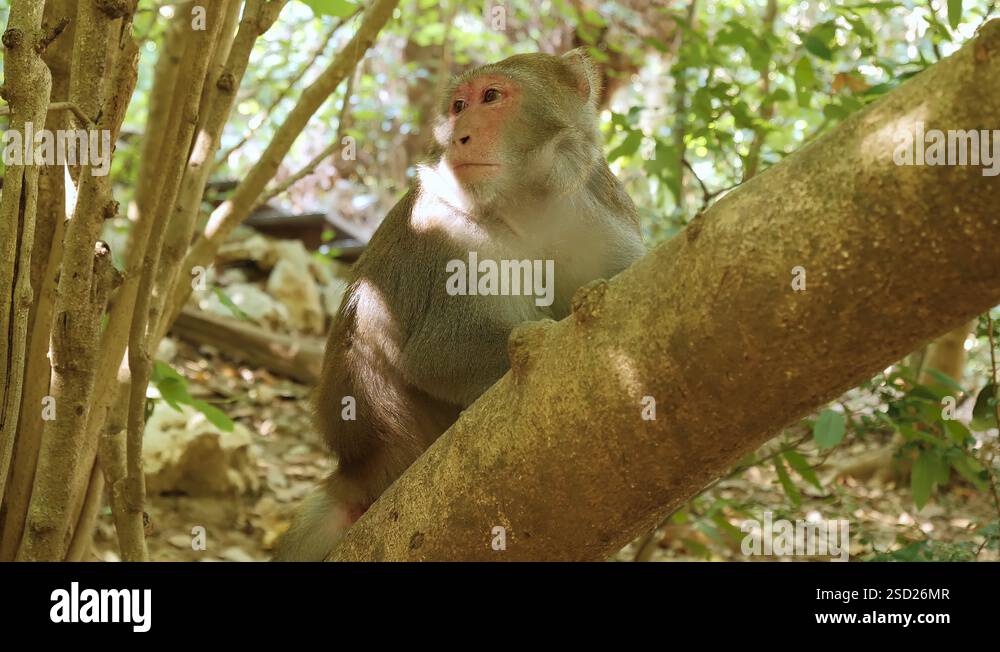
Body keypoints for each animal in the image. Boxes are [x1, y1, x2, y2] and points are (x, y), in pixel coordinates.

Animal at [273, 49, 646, 561]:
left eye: (491, 96)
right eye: (458, 106)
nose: (459, 136)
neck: (527, 205)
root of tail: (356, 467)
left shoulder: (601, 213)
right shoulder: (446, 232)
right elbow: (441, 356)